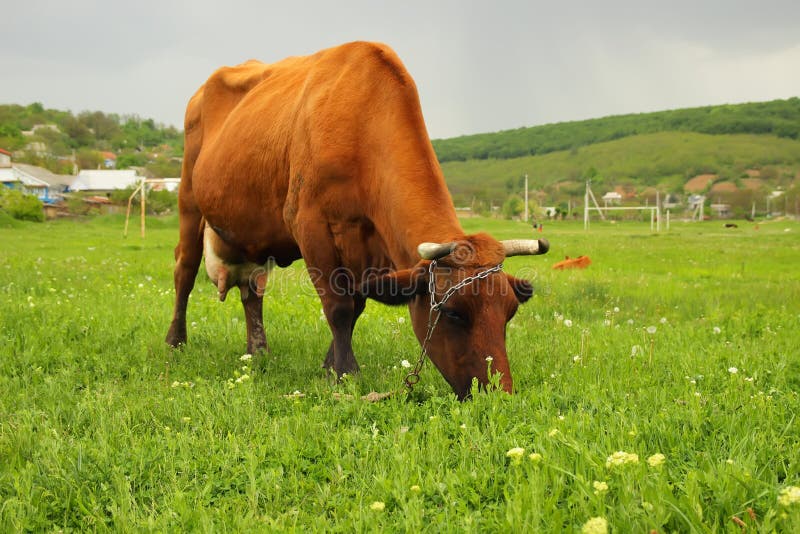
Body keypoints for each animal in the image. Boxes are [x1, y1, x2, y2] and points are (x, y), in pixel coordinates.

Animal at [165, 41, 549, 399]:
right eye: (454, 313)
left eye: (509, 312)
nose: (500, 393)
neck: (363, 121)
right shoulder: (310, 225)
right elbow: (338, 306)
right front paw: (345, 372)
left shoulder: (373, 246)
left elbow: (357, 304)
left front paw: (329, 364)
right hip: (189, 198)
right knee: (185, 270)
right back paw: (175, 341)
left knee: (252, 289)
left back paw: (257, 351)